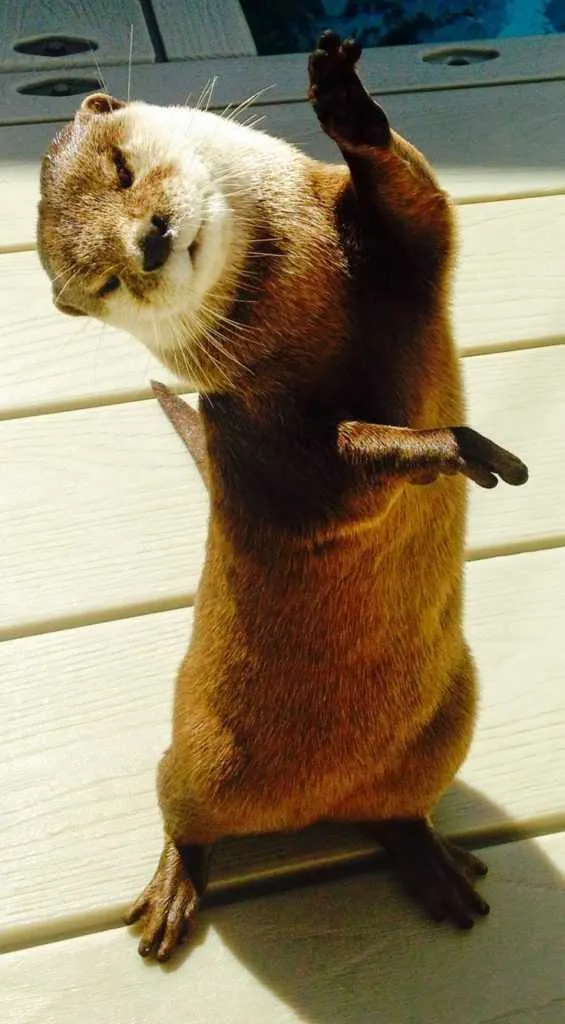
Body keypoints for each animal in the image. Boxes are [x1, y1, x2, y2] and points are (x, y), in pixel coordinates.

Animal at [37, 33, 528, 962]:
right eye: (108, 283)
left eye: (121, 169)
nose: (149, 244)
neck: (294, 293)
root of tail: (314, 810)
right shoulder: (245, 427)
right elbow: (324, 481)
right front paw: (438, 446)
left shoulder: (384, 240)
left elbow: (422, 209)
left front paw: (345, 100)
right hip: (196, 755)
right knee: (181, 812)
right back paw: (171, 892)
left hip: (448, 726)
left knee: (397, 812)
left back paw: (432, 862)